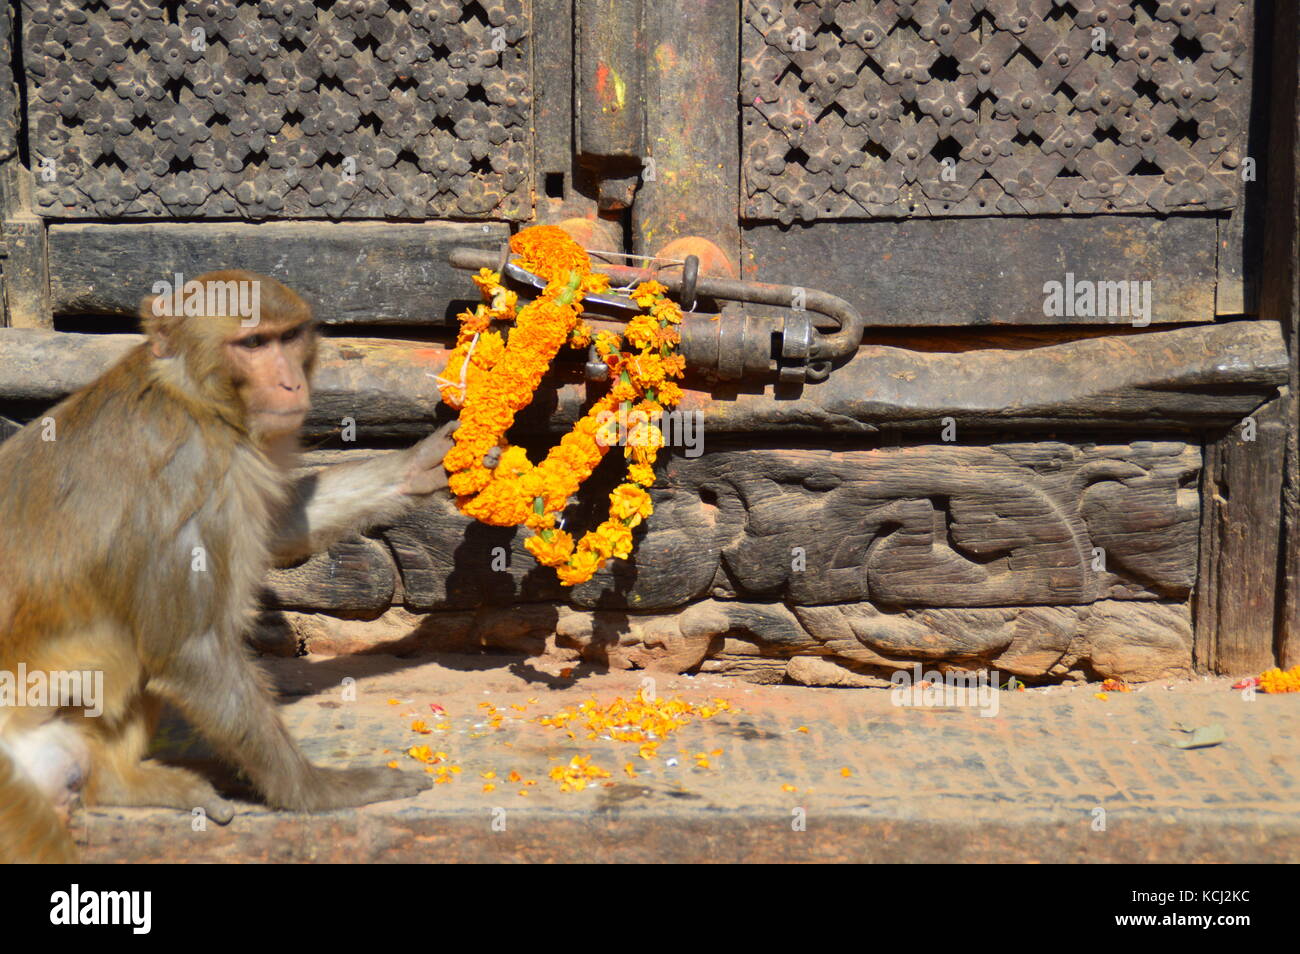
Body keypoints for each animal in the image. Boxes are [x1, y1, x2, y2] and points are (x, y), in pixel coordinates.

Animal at [0, 270, 460, 862]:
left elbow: (279, 524)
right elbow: (191, 651)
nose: (290, 384)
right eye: (253, 344)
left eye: (287, 338)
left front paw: (417, 467)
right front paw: (319, 792)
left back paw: (120, 785)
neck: (191, 395)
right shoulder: (190, 473)